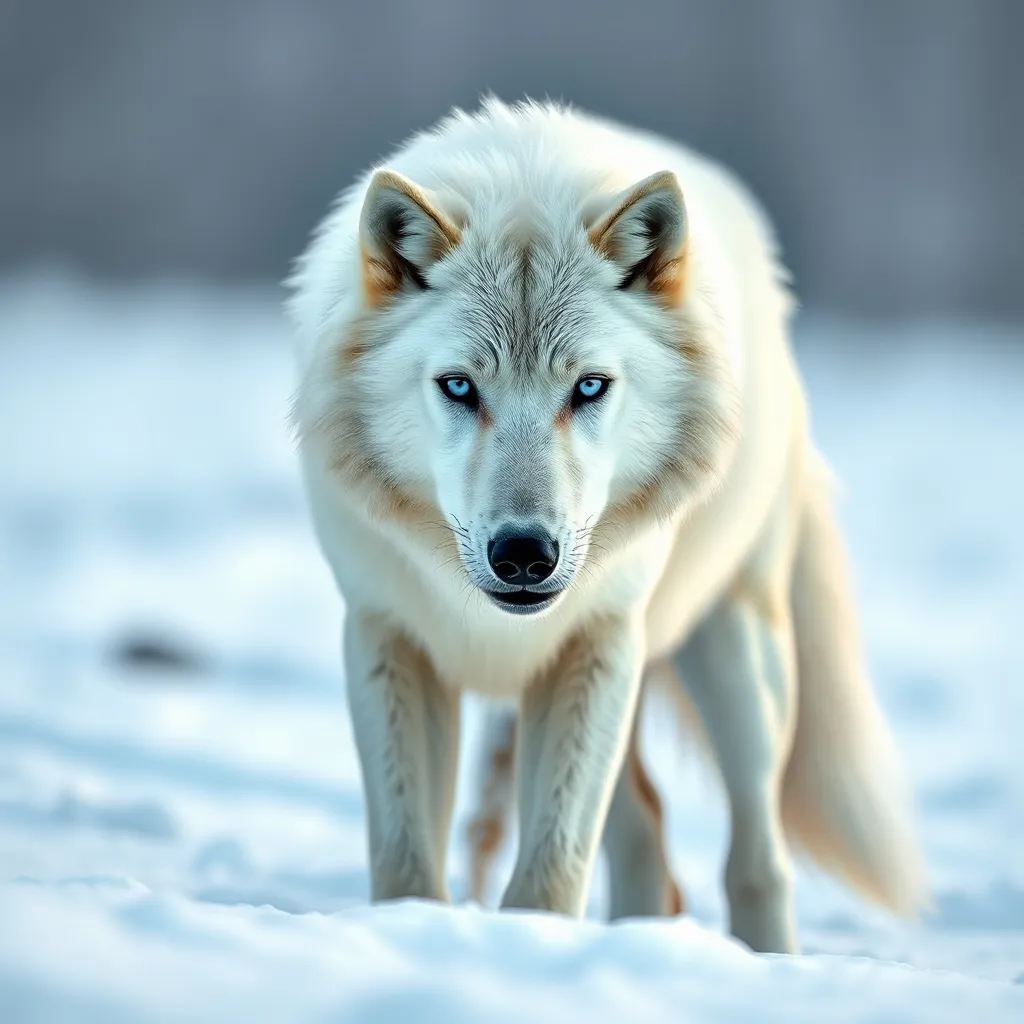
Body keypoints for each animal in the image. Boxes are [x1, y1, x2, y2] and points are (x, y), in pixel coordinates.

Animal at [286, 98, 927, 954]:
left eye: (588, 387)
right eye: (459, 386)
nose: (524, 553)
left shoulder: (598, 641)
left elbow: (551, 873)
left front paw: (528, 949)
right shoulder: (389, 636)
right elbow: (405, 861)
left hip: (735, 661)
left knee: (758, 858)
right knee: (649, 834)